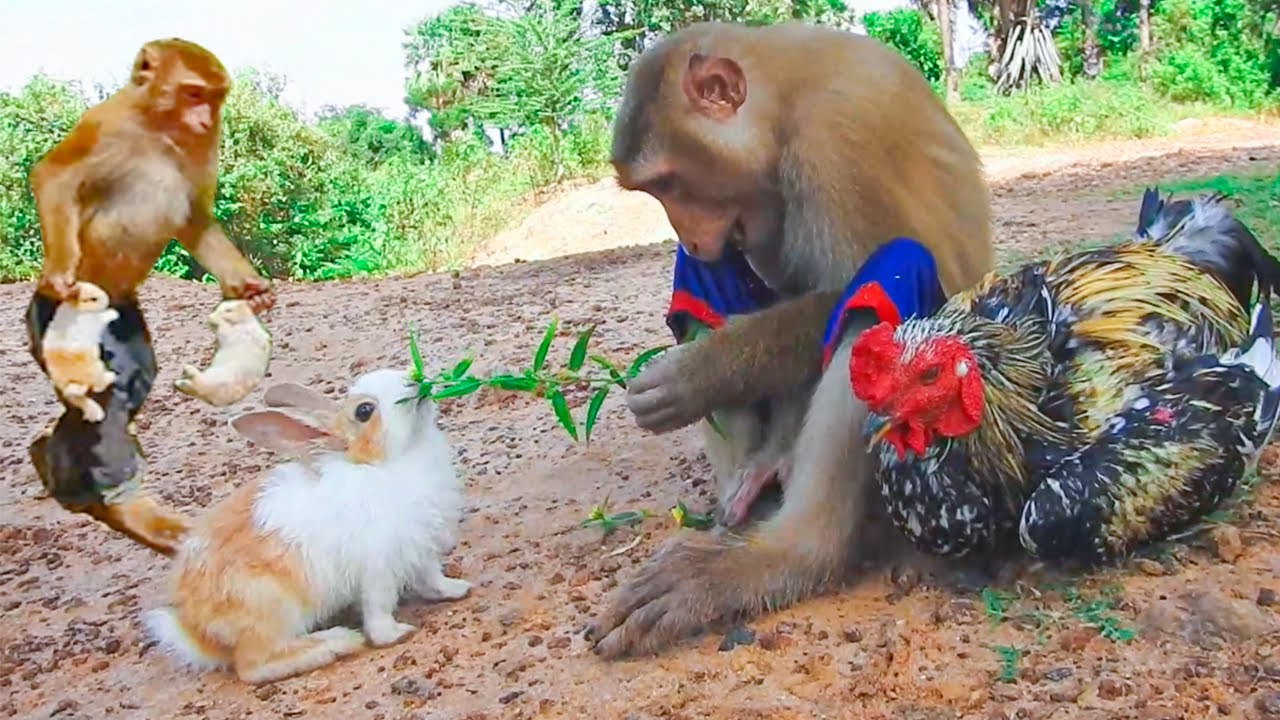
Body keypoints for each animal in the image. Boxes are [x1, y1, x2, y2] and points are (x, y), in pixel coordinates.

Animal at [41, 281, 119, 422]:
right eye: (93, 299)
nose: (107, 299)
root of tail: (71, 381)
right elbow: (102, 318)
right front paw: (113, 313)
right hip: (97, 368)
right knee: (98, 387)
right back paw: (111, 377)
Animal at [141, 367, 469, 685]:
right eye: (364, 411)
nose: (414, 380)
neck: (383, 463)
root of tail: (194, 628)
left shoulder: (419, 548)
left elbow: (432, 578)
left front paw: (458, 589)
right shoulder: (378, 565)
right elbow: (379, 607)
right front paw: (394, 634)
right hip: (272, 607)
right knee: (252, 667)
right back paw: (338, 642)